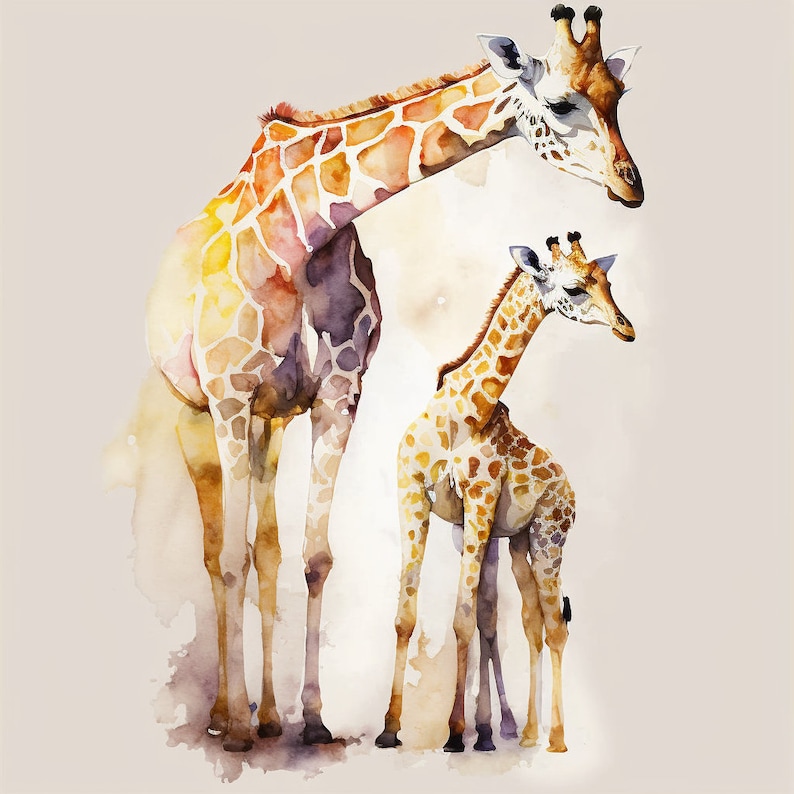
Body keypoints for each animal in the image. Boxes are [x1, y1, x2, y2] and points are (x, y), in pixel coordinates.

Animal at [375, 232, 635, 753]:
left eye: (608, 282)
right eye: (576, 287)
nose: (627, 328)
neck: (460, 412)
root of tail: (570, 492)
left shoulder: (479, 501)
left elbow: (462, 618)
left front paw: (457, 732)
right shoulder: (414, 495)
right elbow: (410, 615)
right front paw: (391, 728)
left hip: (549, 537)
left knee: (555, 625)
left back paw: (552, 738)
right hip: (517, 541)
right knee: (531, 623)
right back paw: (526, 731)